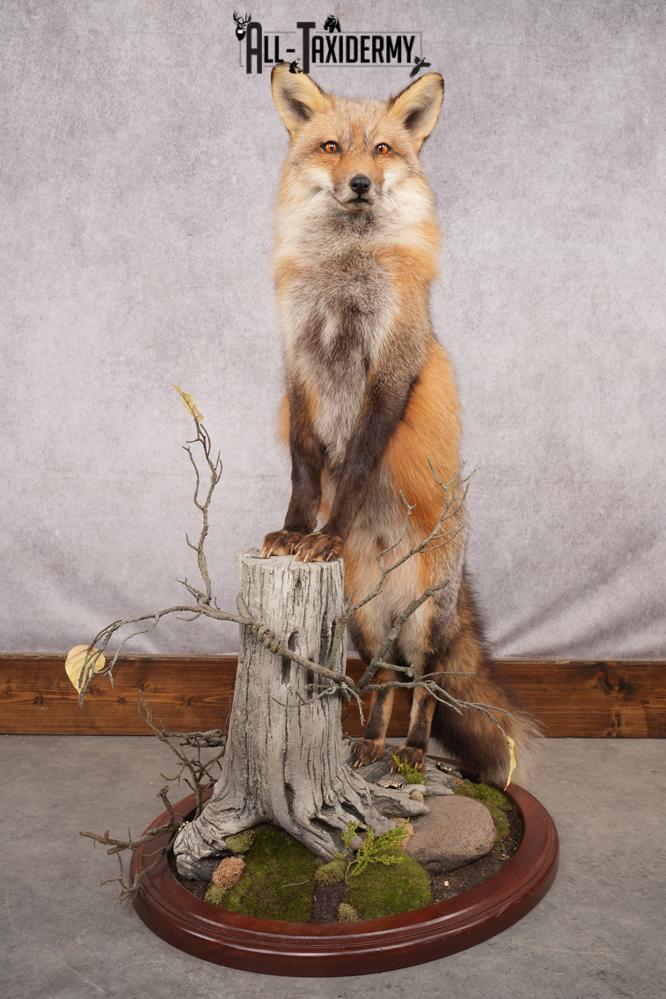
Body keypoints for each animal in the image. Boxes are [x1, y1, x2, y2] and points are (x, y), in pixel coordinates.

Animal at [261, 65, 535, 785]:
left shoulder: (390, 365)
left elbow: (356, 461)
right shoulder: (299, 362)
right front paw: (297, 530)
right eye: (332, 148)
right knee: (385, 678)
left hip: (427, 616)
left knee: (426, 682)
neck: (343, 280)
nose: (360, 182)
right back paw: (371, 745)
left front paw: (327, 533)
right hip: (365, 619)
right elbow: (305, 464)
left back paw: (410, 749)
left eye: (381, 150)